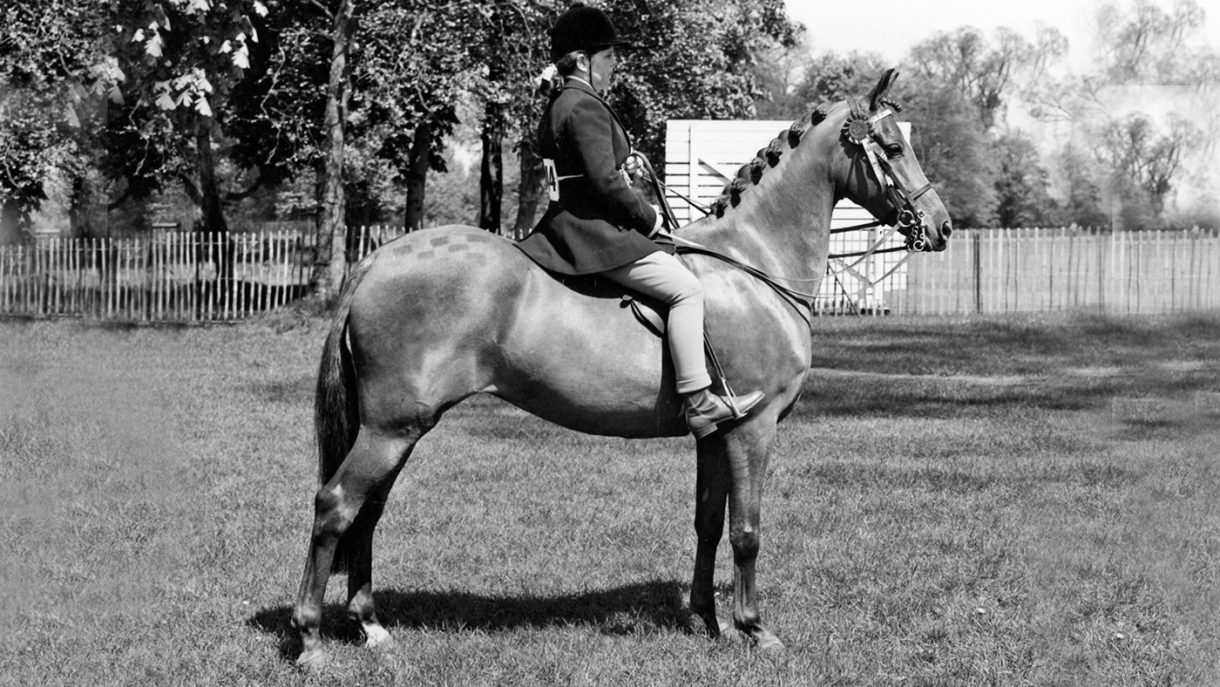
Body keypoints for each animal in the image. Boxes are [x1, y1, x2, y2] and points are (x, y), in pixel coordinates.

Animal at [291, 69, 952, 666]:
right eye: (893, 148)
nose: (941, 227)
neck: (751, 263)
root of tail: (379, 259)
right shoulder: (752, 428)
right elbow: (747, 530)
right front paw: (755, 629)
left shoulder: (714, 432)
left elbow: (708, 522)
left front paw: (707, 621)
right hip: (392, 427)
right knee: (336, 505)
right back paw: (310, 640)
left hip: (399, 428)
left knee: (368, 511)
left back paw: (370, 626)